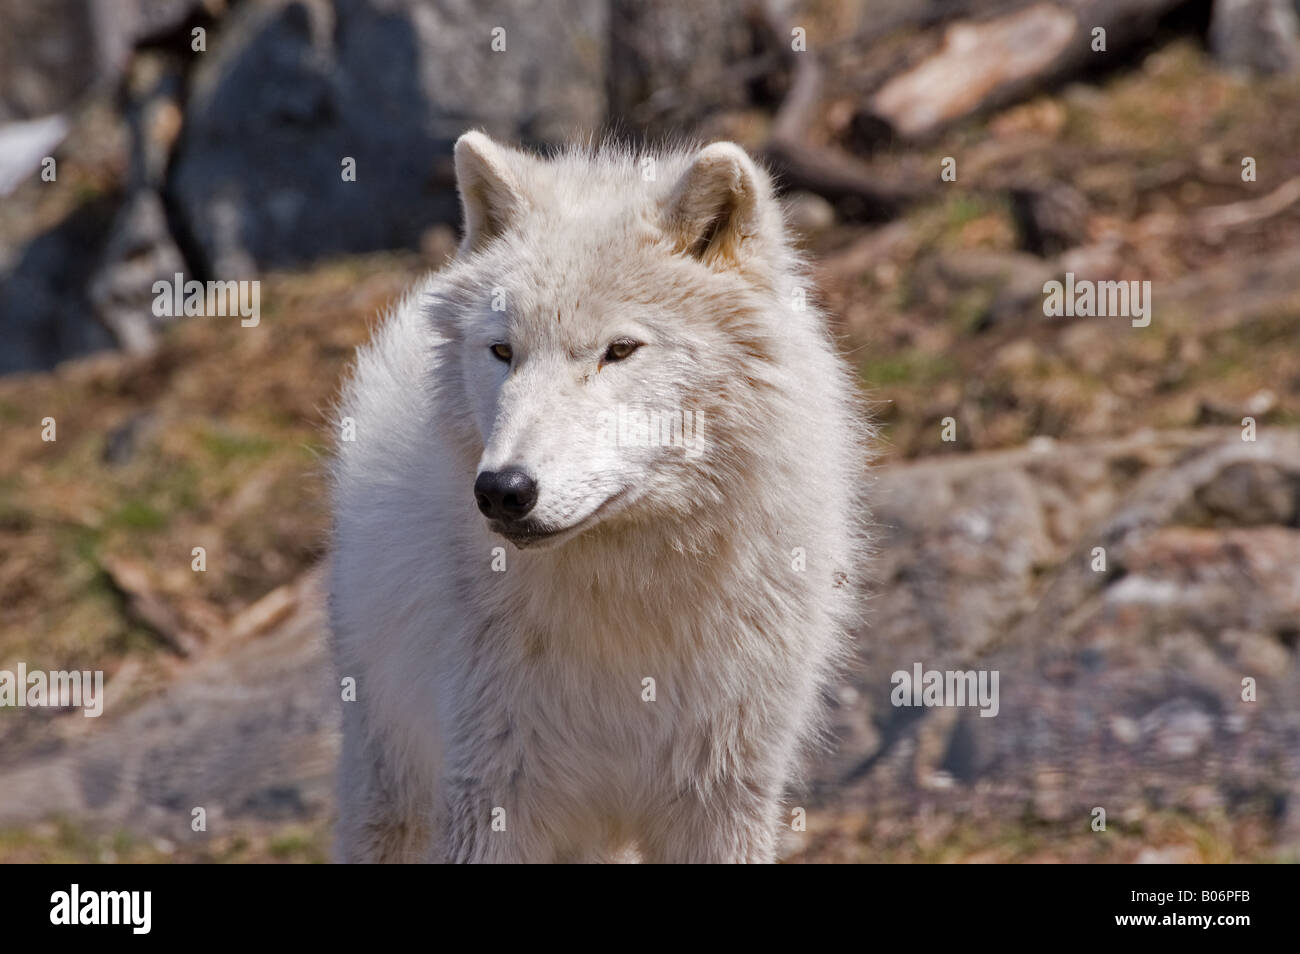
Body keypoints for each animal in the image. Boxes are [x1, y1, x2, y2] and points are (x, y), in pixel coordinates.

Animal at [328, 132, 871, 863]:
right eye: (503, 351)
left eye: (620, 349)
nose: (503, 491)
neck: (628, 600)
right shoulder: (490, 800)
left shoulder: (722, 800)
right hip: (392, 775)